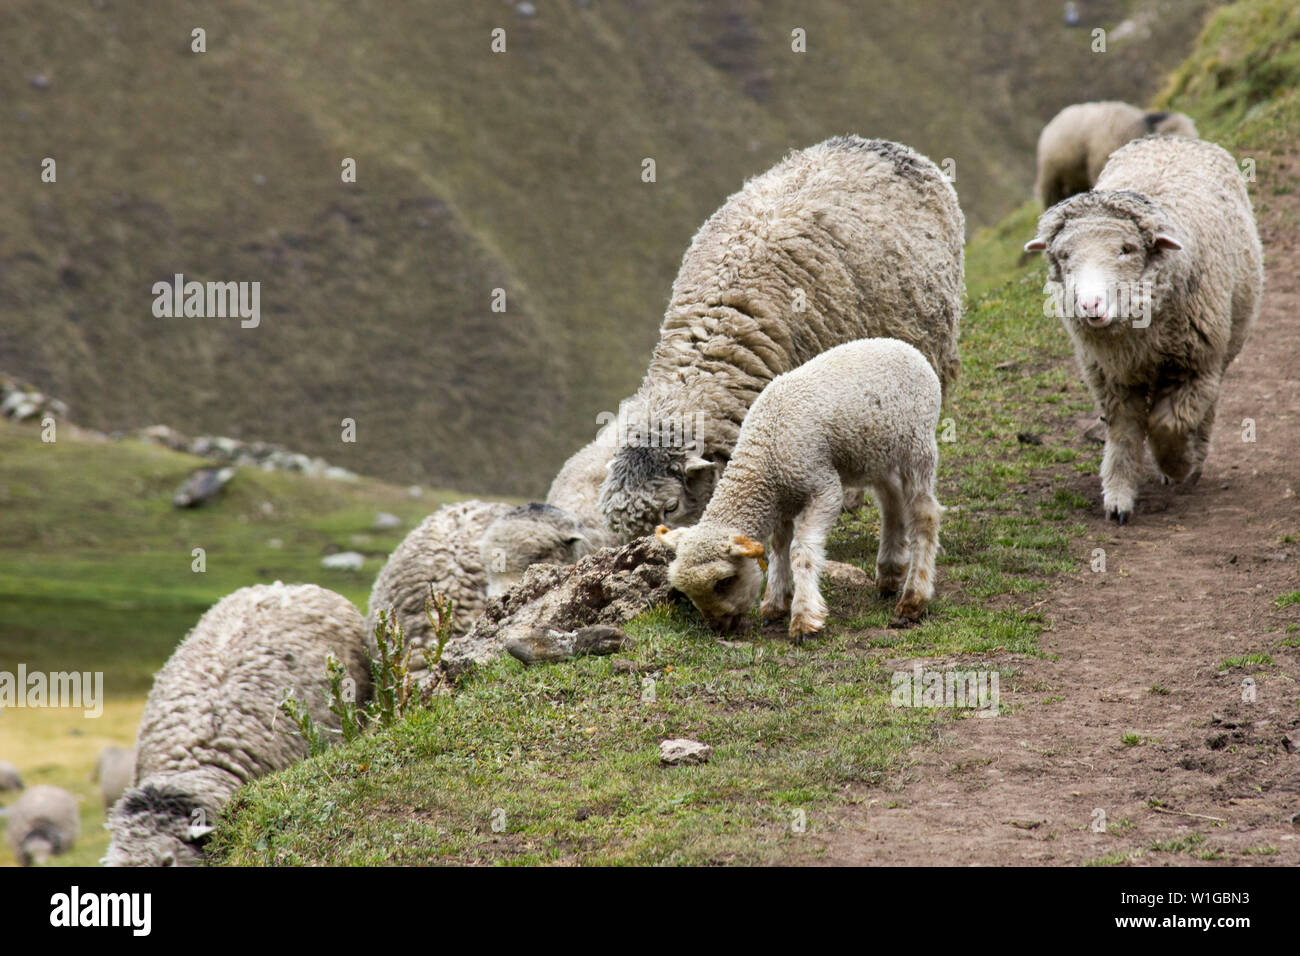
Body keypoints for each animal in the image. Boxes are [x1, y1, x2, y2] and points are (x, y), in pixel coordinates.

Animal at [656, 338, 944, 639]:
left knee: (924, 515)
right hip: (874, 454)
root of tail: (904, 347)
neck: (764, 455)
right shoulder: (782, 499)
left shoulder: (823, 488)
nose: (720, 628)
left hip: (916, 445)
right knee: (892, 500)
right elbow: (779, 545)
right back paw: (889, 571)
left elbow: (801, 551)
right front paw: (775, 602)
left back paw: (913, 598)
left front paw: (804, 616)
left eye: (725, 581)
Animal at [1024, 136, 1263, 523]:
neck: (1138, 339)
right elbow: (1124, 431)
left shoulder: (1192, 367)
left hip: (1219, 350)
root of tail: (1171, 138)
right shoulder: (1111, 377)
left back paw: (1194, 458)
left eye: (1126, 249)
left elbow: (1168, 424)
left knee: (1207, 406)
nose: (1090, 305)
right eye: (1063, 256)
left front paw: (1177, 464)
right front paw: (1118, 495)